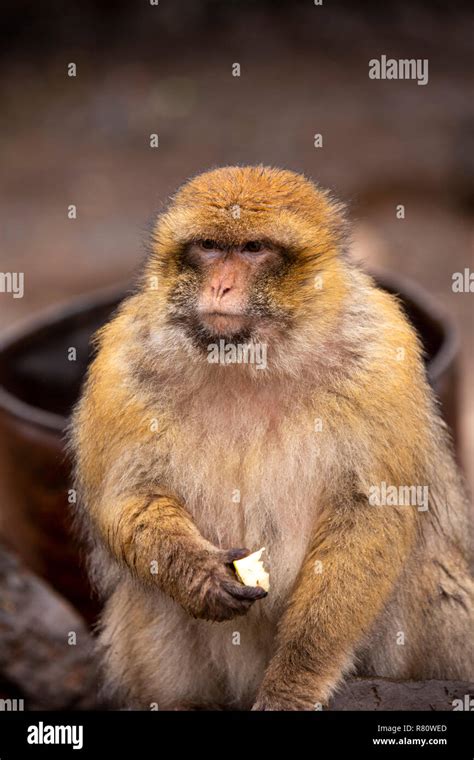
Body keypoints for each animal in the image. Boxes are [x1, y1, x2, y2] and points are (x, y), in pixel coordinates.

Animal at [70, 165, 474, 711]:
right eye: (209, 247)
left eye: (253, 248)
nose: (220, 286)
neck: (253, 356)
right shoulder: (125, 358)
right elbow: (127, 495)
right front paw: (199, 576)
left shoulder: (380, 352)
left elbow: (370, 512)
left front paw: (295, 679)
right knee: (144, 594)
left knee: (431, 574)